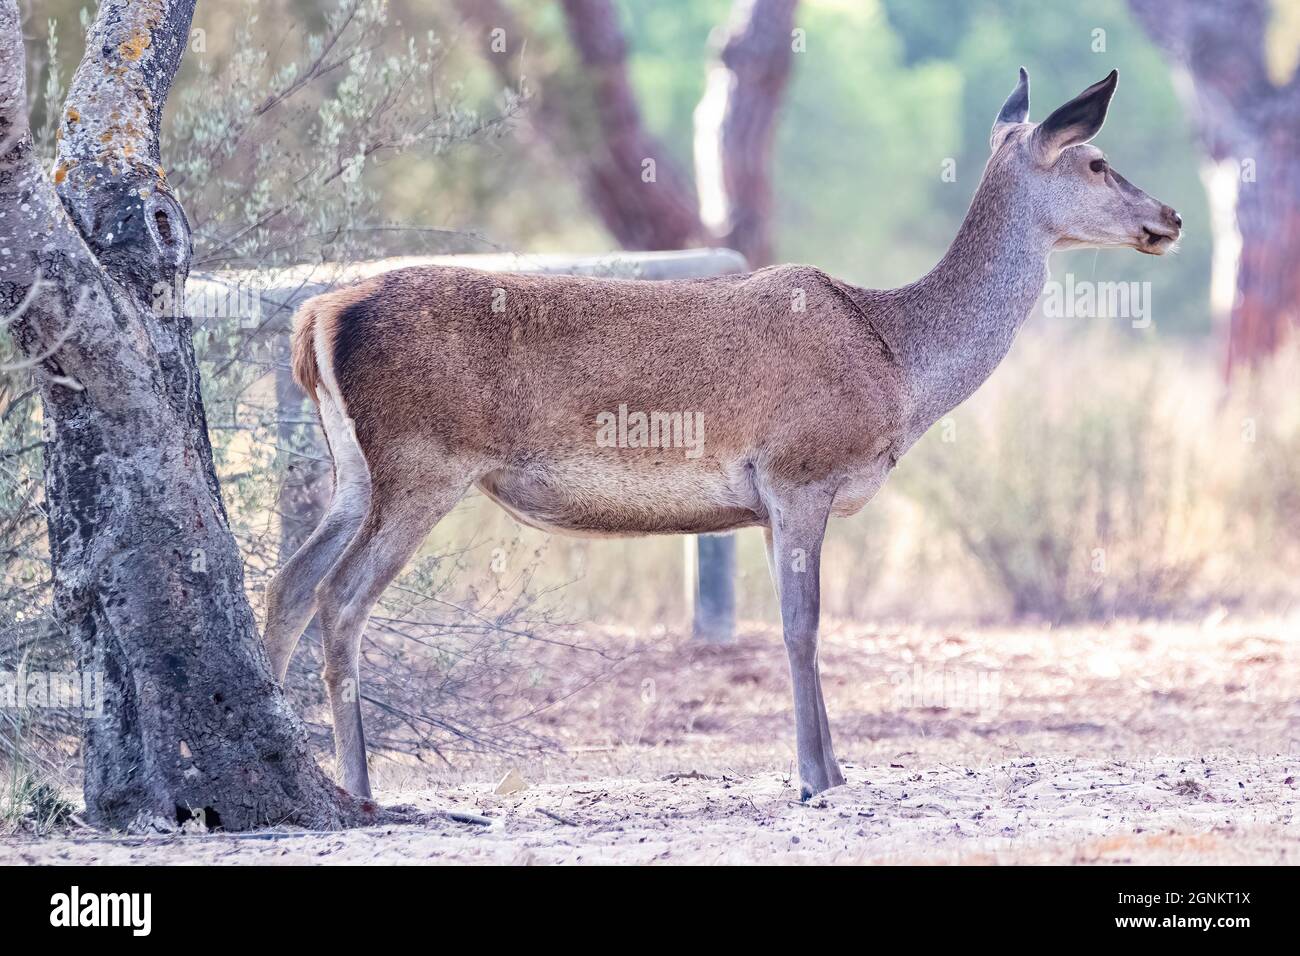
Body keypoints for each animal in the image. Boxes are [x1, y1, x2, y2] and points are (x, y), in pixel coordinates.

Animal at [263, 69, 1182, 801]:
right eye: (1097, 161)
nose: (1169, 216)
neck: (898, 365)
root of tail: (318, 315)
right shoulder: (800, 469)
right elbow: (802, 626)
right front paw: (817, 778)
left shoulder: (771, 502)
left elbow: (795, 623)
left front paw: (830, 768)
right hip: (423, 464)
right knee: (338, 599)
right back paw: (359, 786)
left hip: (356, 471)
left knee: (285, 585)